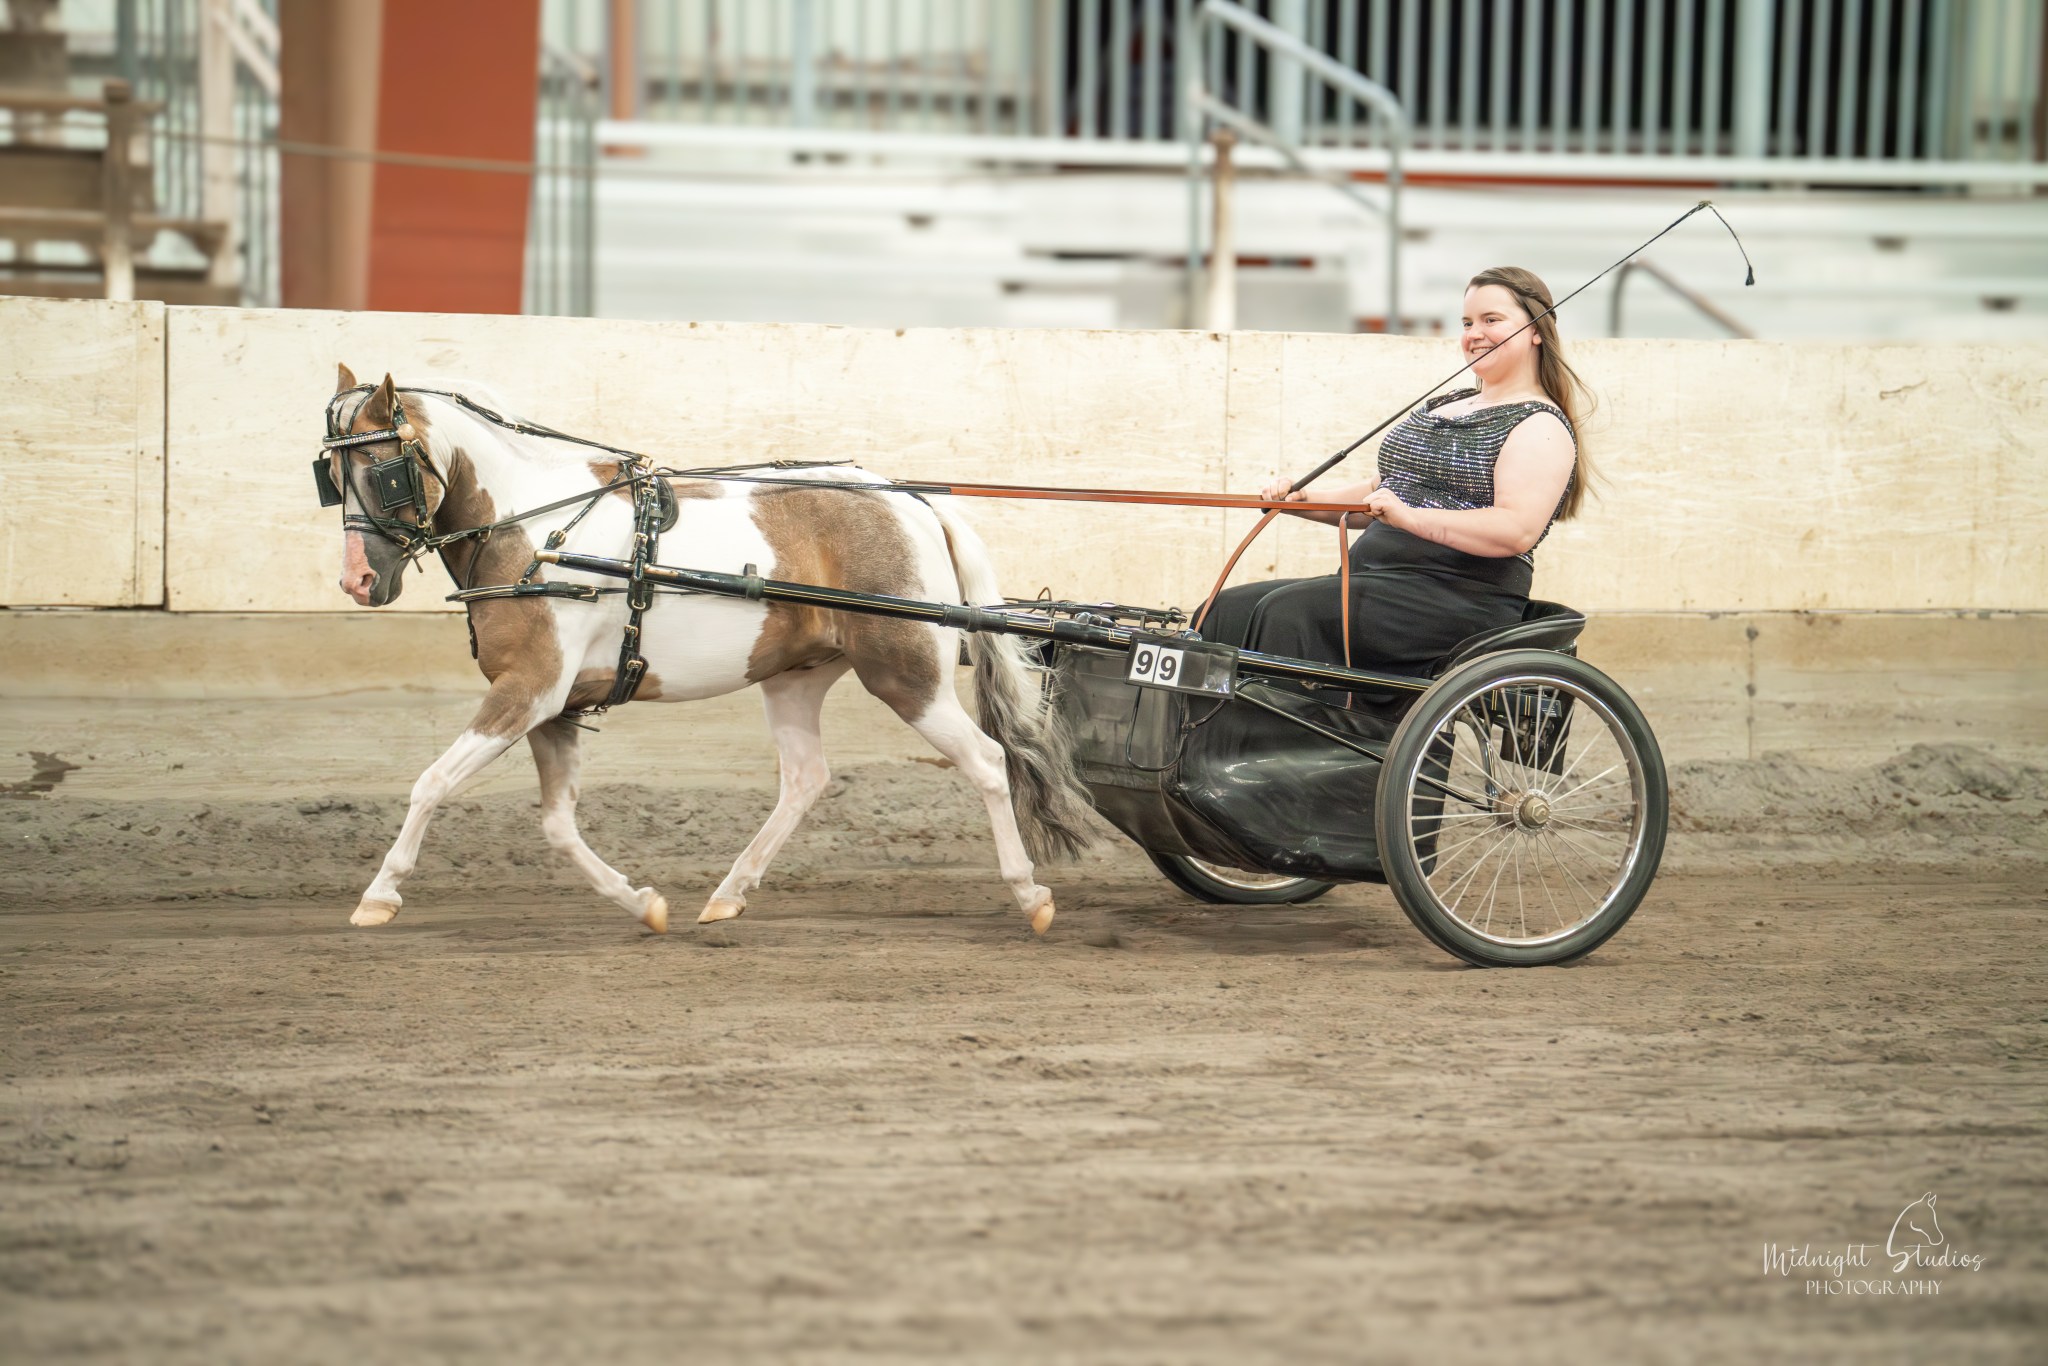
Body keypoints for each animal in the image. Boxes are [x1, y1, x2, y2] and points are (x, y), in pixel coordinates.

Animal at [320, 367, 1093, 935]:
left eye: (383, 469)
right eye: (330, 478)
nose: (358, 580)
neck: (536, 533)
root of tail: (908, 500)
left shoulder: (527, 689)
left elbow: (432, 783)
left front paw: (378, 895)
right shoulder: (552, 706)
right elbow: (559, 826)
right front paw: (642, 903)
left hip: (907, 675)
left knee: (986, 761)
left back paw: (1030, 896)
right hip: (795, 677)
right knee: (805, 779)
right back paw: (729, 892)